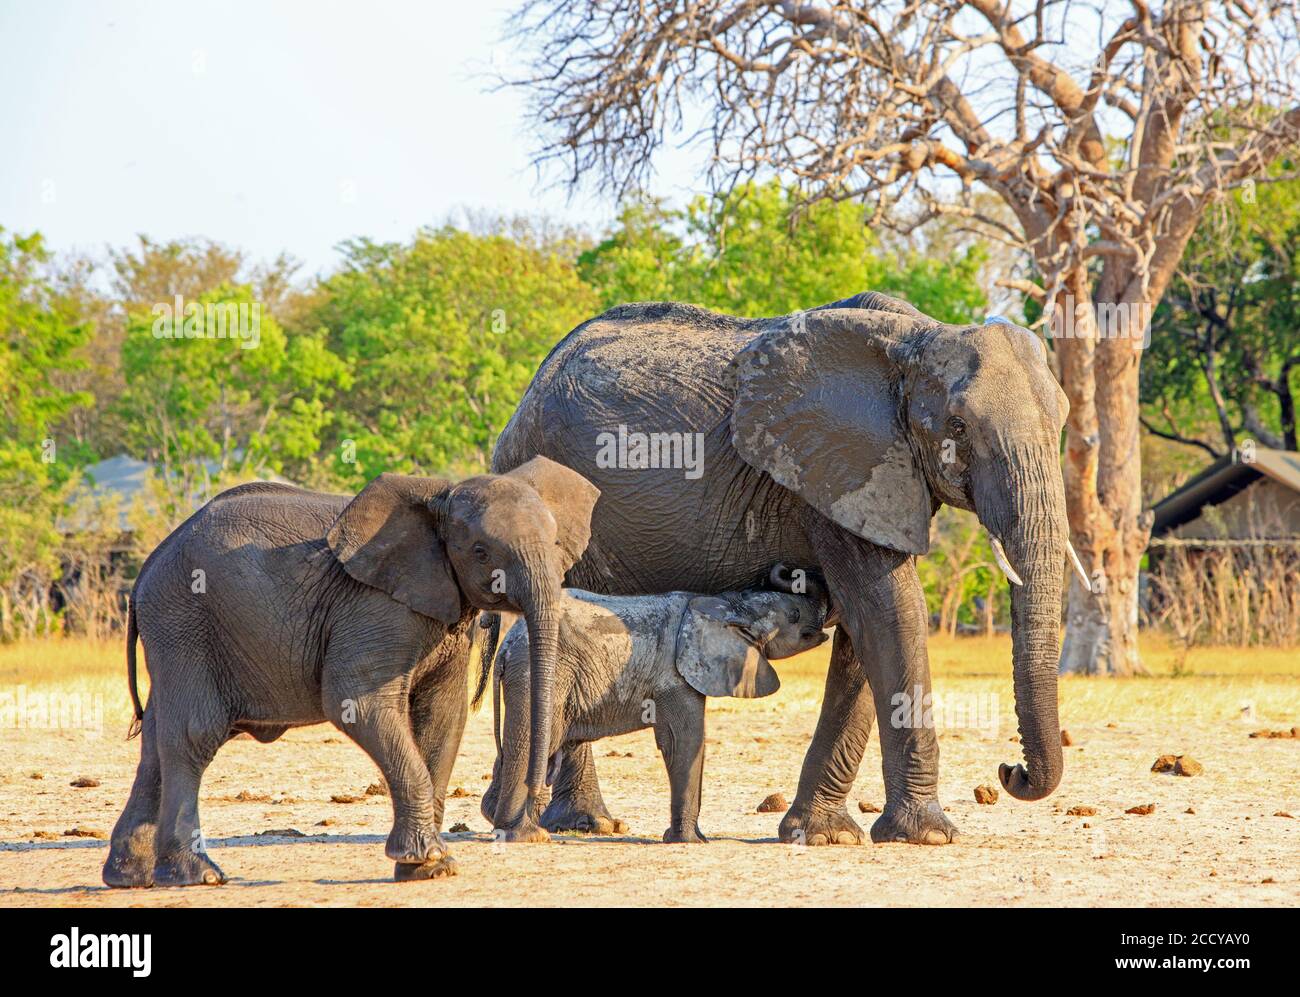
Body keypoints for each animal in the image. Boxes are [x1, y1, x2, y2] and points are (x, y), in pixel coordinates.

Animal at [101, 456, 599, 888]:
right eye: (480, 551)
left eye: (557, 544)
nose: (531, 815)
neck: (440, 498)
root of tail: (146, 569)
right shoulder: (374, 605)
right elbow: (355, 703)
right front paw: (428, 860)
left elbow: (444, 716)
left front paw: (427, 869)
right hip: (186, 622)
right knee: (194, 733)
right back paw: (198, 875)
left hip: (179, 633)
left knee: (156, 742)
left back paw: (131, 878)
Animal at [480, 567, 830, 843]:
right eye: (795, 615)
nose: (784, 568)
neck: (725, 606)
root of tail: (507, 647)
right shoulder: (673, 675)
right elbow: (684, 741)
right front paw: (689, 842)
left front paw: (690, 838)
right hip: (541, 675)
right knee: (534, 743)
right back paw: (526, 836)